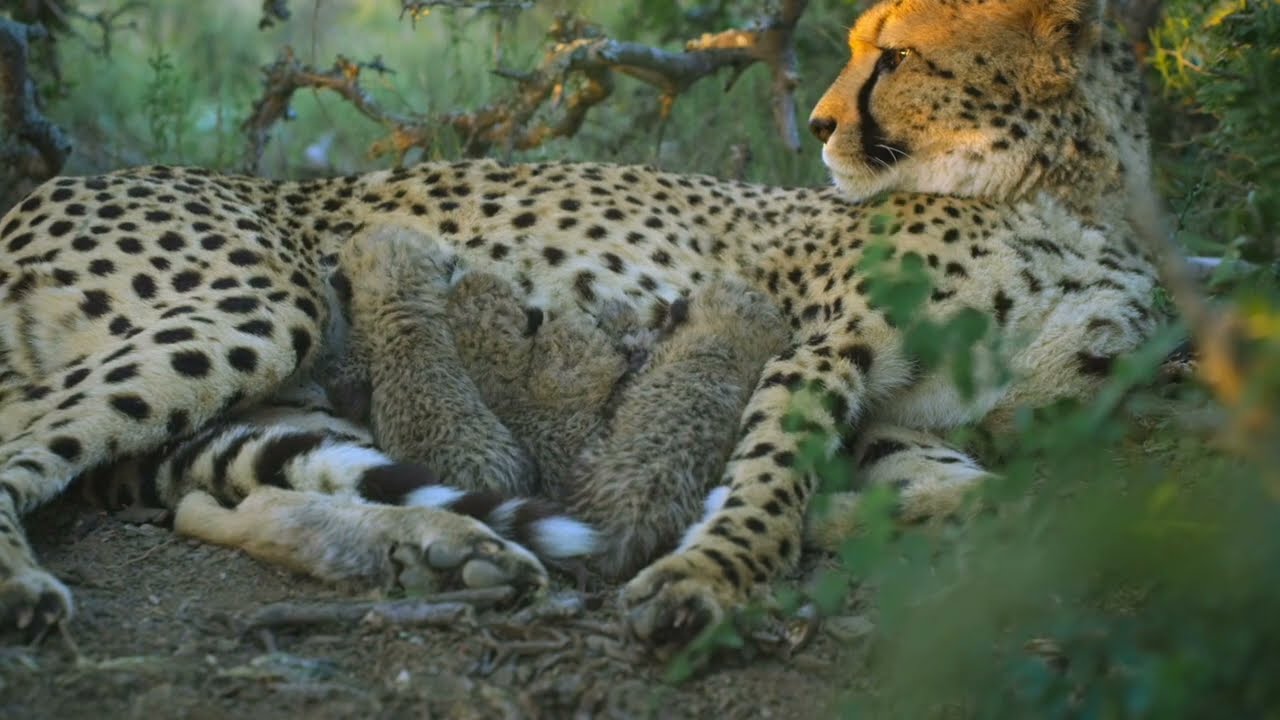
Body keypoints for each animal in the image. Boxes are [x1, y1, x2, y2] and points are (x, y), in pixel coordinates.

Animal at [0, 0, 1163, 652]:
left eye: (900, 56)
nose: (824, 124)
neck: (1059, 189)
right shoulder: (816, 351)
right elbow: (770, 480)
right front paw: (703, 584)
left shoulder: (933, 414)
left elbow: (981, 486)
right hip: (263, 301)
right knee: (24, 449)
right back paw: (24, 593)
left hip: (284, 393)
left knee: (220, 499)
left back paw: (443, 556)